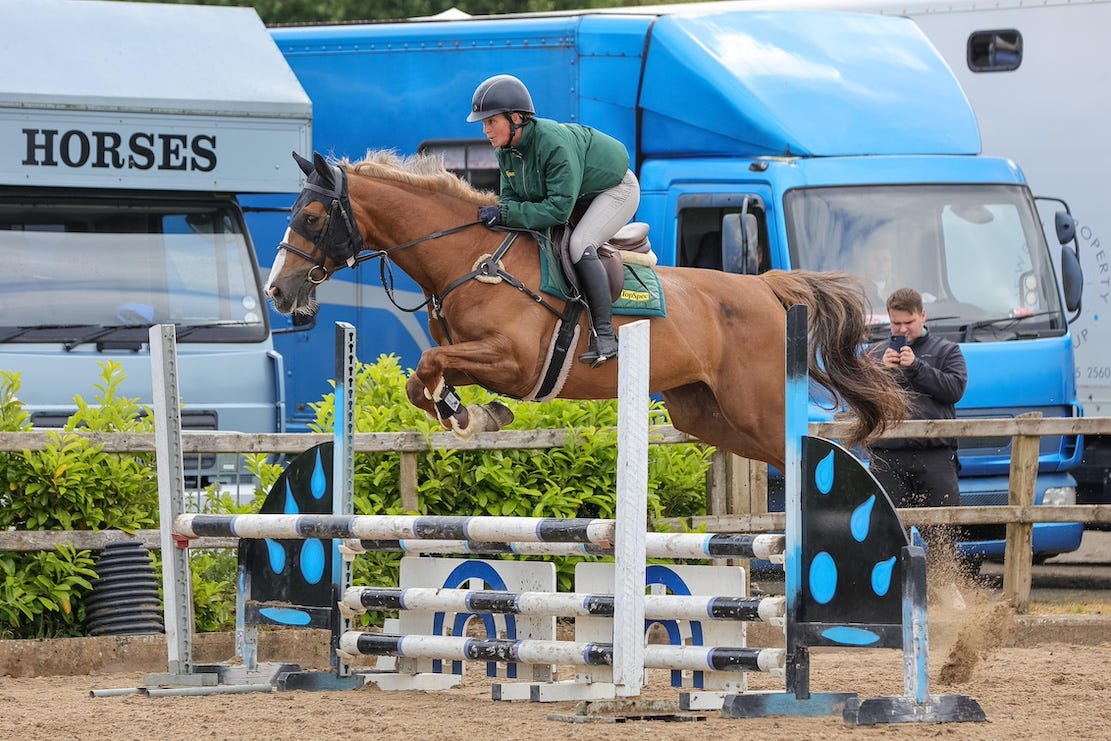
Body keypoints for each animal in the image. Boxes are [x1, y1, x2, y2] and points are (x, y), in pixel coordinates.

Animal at [265, 150, 906, 472]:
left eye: (312, 218)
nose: (277, 291)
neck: (468, 257)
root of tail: (768, 288)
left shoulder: (515, 361)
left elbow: (428, 366)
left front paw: (470, 416)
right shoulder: (476, 358)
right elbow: (421, 380)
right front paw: (470, 413)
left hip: (756, 404)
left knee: (821, 450)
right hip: (706, 412)